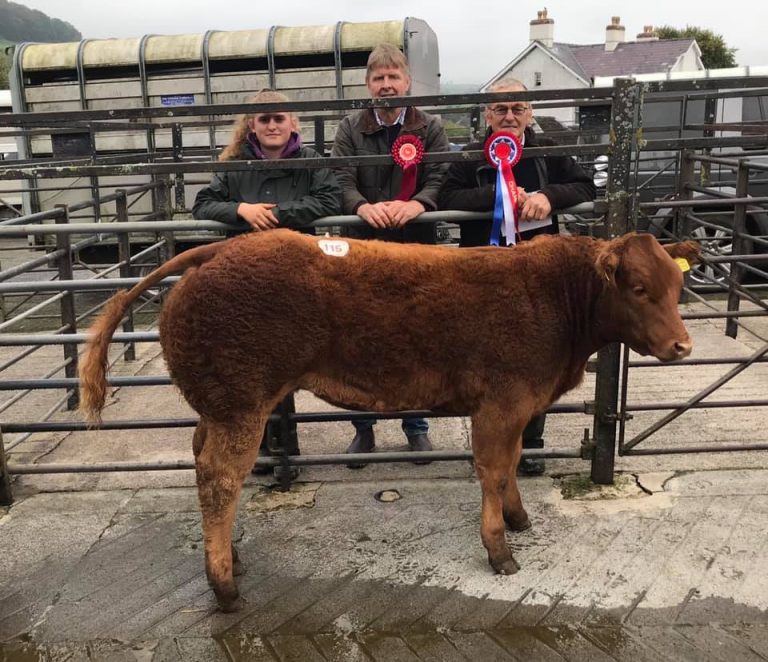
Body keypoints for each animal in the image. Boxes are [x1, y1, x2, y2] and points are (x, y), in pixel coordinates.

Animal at [79, 229, 699, 612]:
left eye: (678, 285)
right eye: (638, 287)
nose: (683, 345)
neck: (554, 299)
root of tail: (219, 249)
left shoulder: (519, 405)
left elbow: (513, 463)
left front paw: (519, 519)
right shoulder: (501, 401)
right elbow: (493, 469)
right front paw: (499, 550)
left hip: (217, 405)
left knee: (200, 460)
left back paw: (233, 558)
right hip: (241, 404)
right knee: (220, 479)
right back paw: (225, 587)